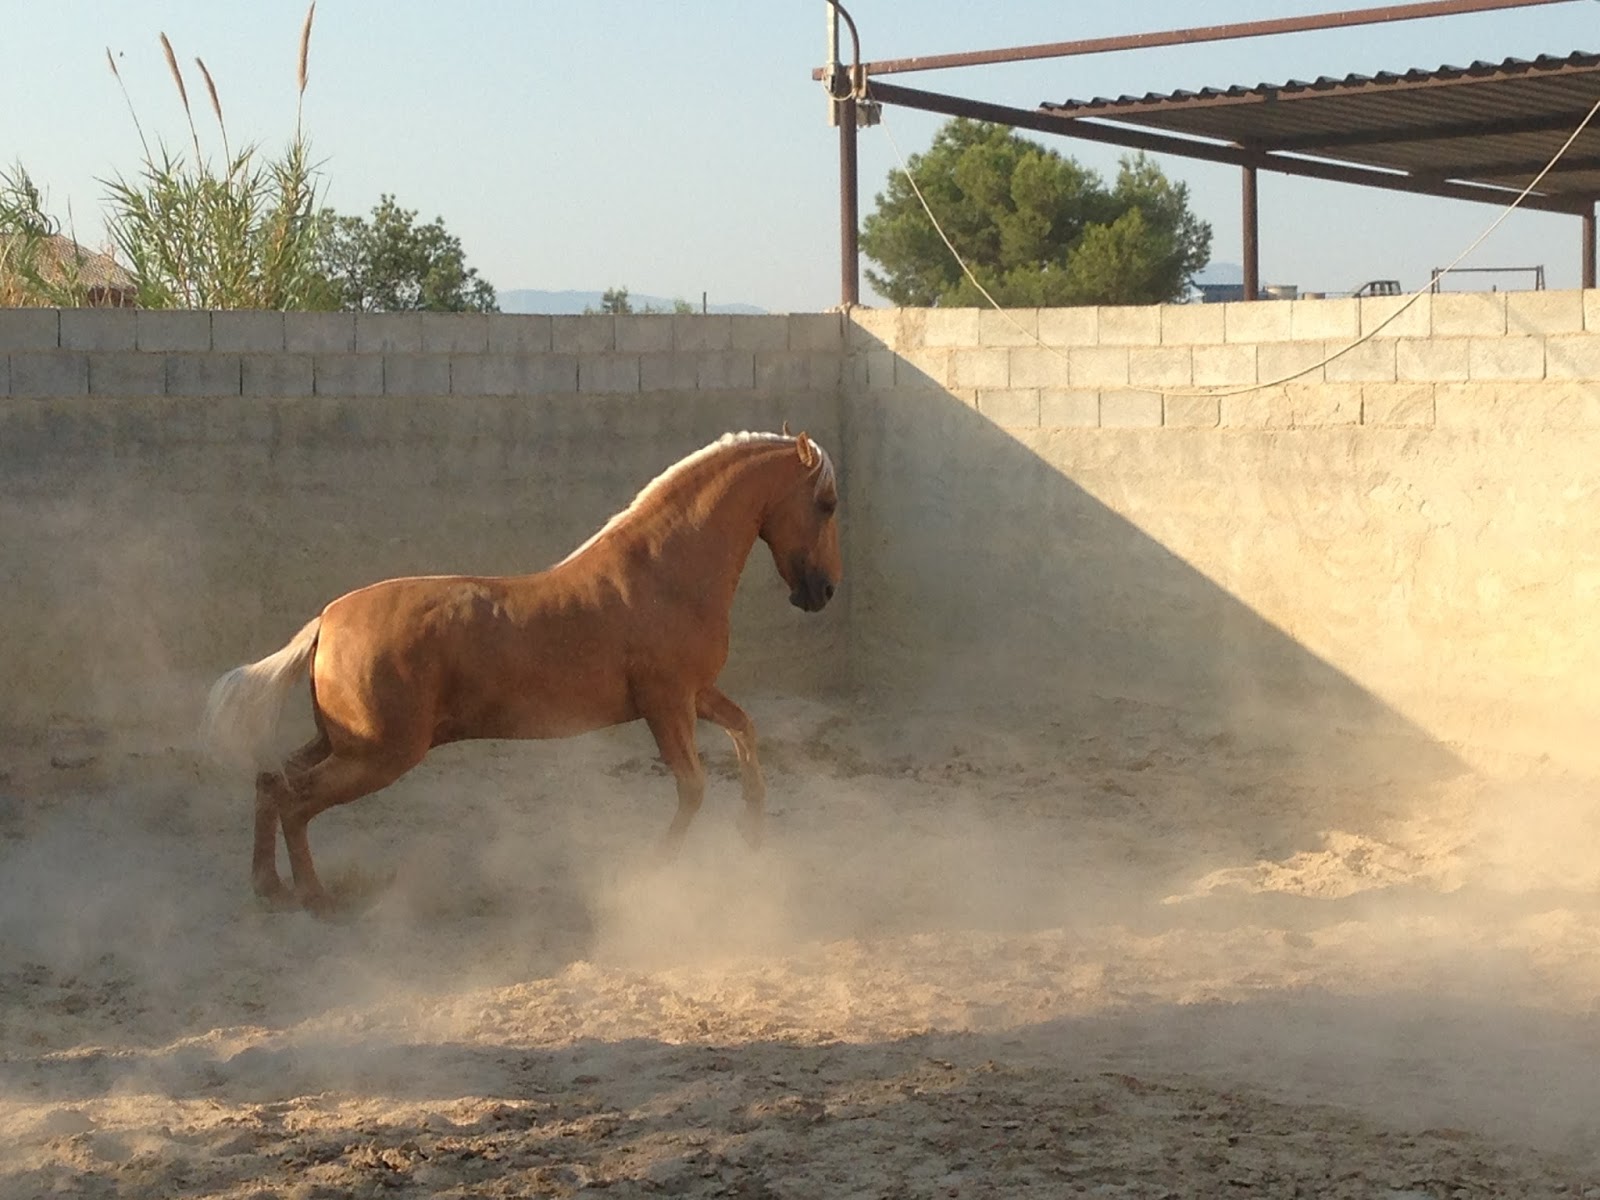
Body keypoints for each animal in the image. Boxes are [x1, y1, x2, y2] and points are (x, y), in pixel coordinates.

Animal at [201, 429, 841, 914]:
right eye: (826, 504)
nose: (823, 592)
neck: (665, 573)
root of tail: (327, 620)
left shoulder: (694, 693)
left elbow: (745, 731)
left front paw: (753, 834)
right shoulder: (667, 703)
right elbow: (692, 787)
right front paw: (652, 871)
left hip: (342, 743)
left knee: (273, 779)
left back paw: (269, 886)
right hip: (377, 755)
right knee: (297, 799)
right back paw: (314, 897)